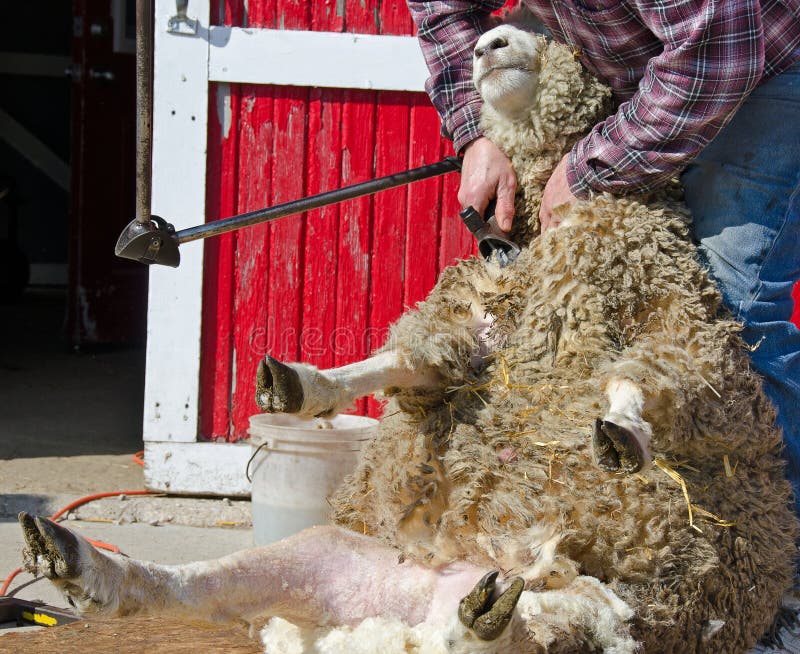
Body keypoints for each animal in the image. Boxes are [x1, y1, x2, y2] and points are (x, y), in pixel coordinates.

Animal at [20, 13, 798, 654]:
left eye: (564, 41)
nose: (488, 44)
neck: (541, 239)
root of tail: (412, 609)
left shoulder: (683, 325)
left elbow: (645, 378)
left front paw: (623, 432)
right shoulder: (478, 327)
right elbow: (404, 363)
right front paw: (303, 385)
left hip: (627, 605)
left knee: (542, 630)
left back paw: (482, 621)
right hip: (324, 555)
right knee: (196, 587)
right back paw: (77, 562)